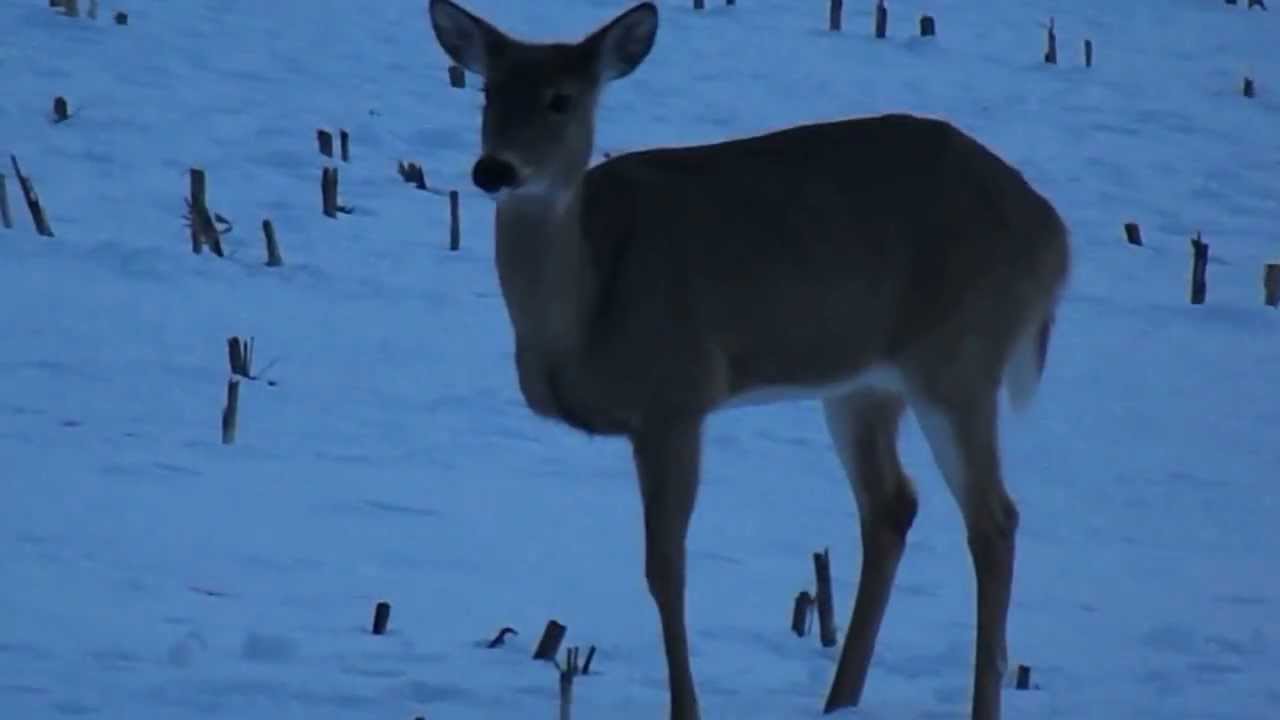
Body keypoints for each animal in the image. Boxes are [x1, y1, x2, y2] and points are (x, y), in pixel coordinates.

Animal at [426, 1, 1071, 718]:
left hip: (959, 358)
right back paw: (840, 700)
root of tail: (1054, 233)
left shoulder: (677, 394)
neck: (587, 305)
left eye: (561, 99)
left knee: (994, 519)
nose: (494, 170)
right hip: (861, 383)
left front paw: (686, 709)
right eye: (487, 91)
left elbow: (665, 568)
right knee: (892, 507)